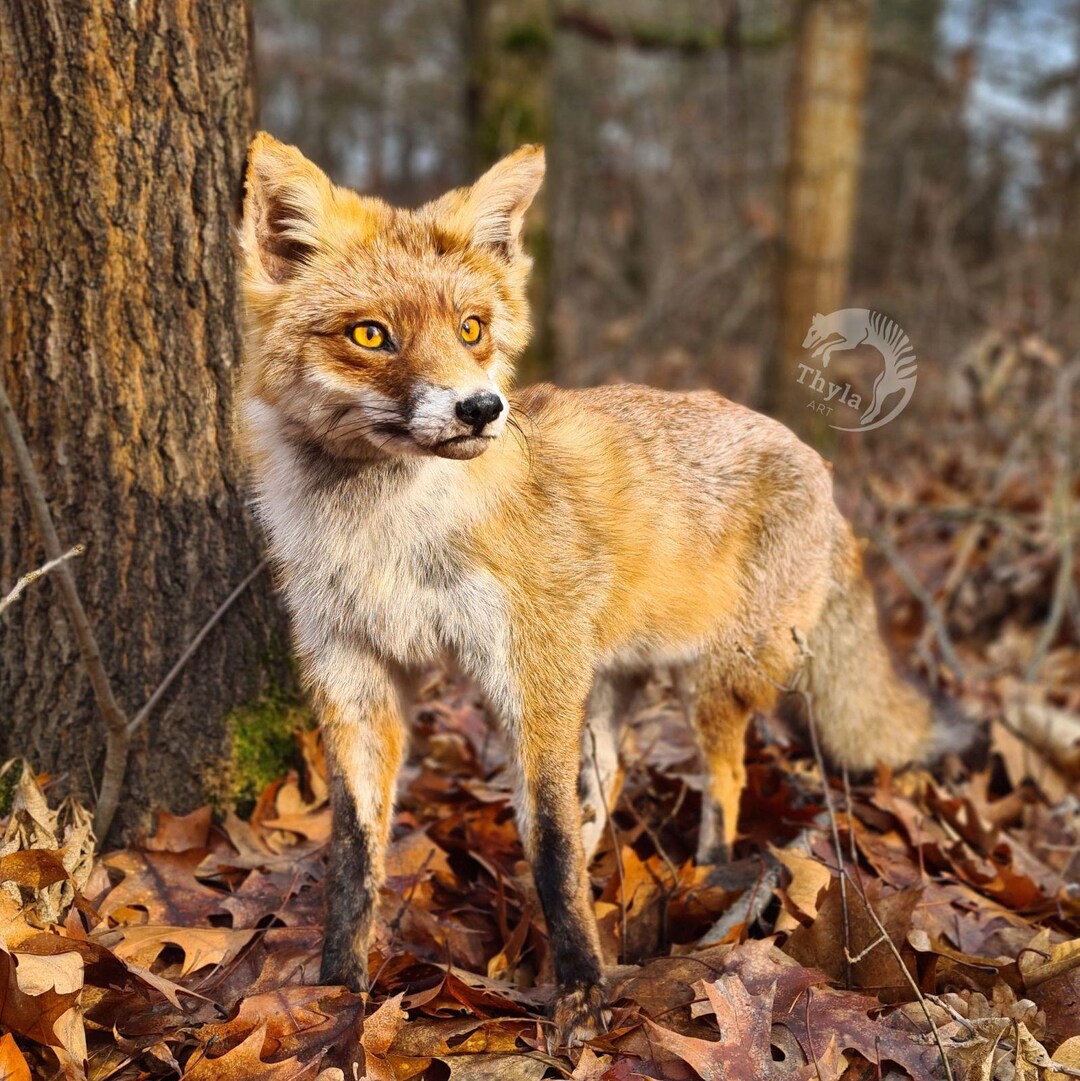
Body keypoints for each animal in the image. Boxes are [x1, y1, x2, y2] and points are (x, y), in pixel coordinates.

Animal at [237, 133, 960, 1048]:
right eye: (371, 335)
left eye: (472, 329)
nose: (482, 409)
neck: (386, 537)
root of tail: (820, 467)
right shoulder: (353, 670)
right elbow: (355, 852)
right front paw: (339, 989)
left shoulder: (531, 667)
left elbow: (544, 842)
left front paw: (581, 989)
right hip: (608, 681)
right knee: (609, 779)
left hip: (709, 683)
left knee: (723, 779)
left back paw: (707, 878)